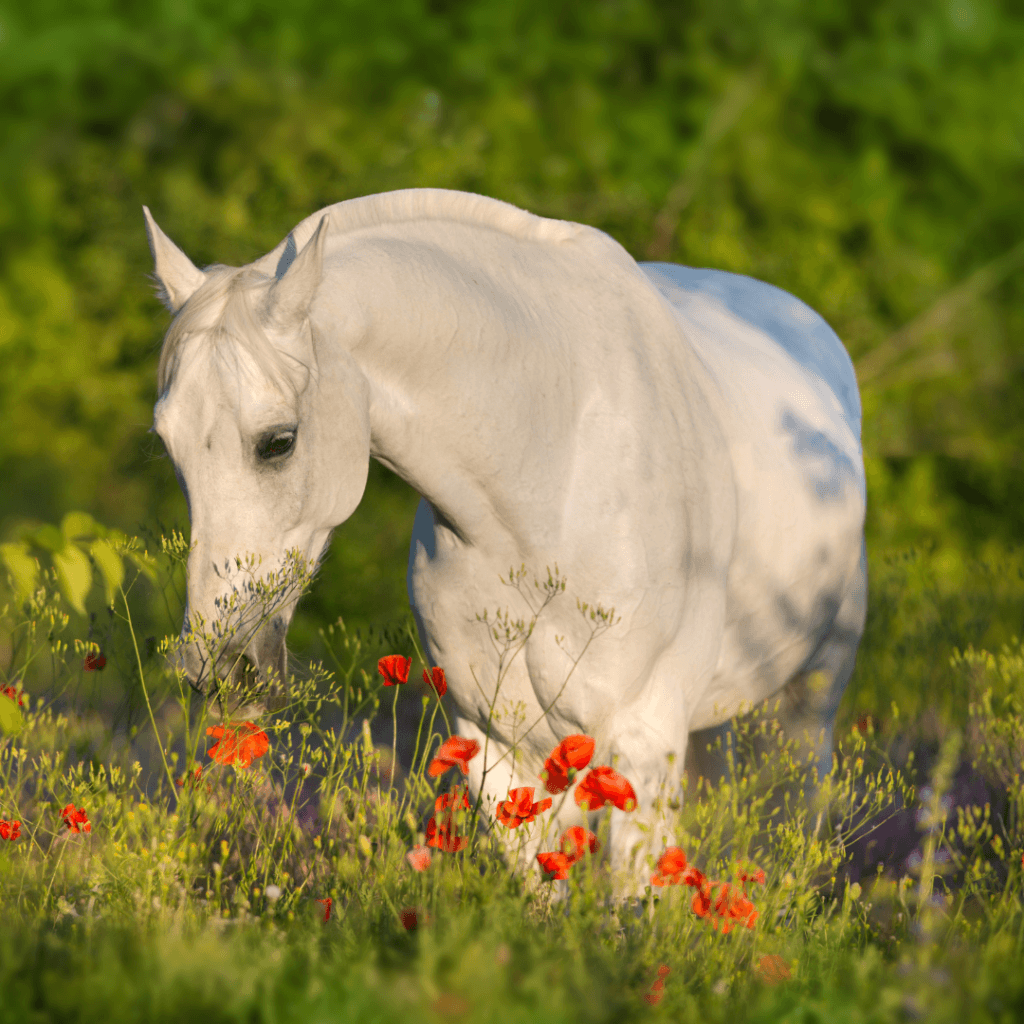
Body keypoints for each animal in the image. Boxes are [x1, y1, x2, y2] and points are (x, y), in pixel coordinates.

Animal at [145, 188, 866, 891]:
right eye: (167, 447)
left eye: (278, 442)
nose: (217, 666)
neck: (549, 476)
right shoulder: (498, 746)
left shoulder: (643, 735)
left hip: (810, 700)